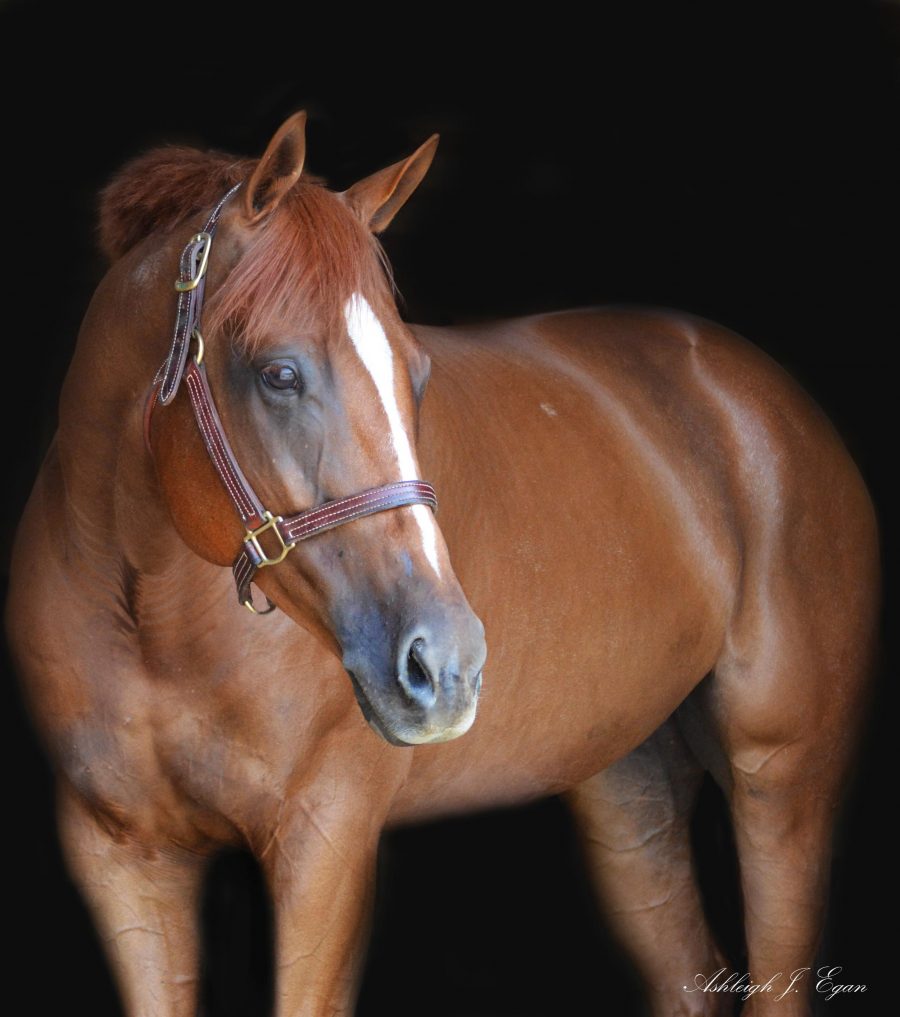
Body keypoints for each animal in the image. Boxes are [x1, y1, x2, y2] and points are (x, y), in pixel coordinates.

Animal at [5, 110, 879, 1017]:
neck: (148, 613)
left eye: (415, 373)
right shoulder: (124, 859)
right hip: (625, 781)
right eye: (278, 372)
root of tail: (764, 396)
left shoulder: (325, 842)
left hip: (783, 776)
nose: (448, 663)